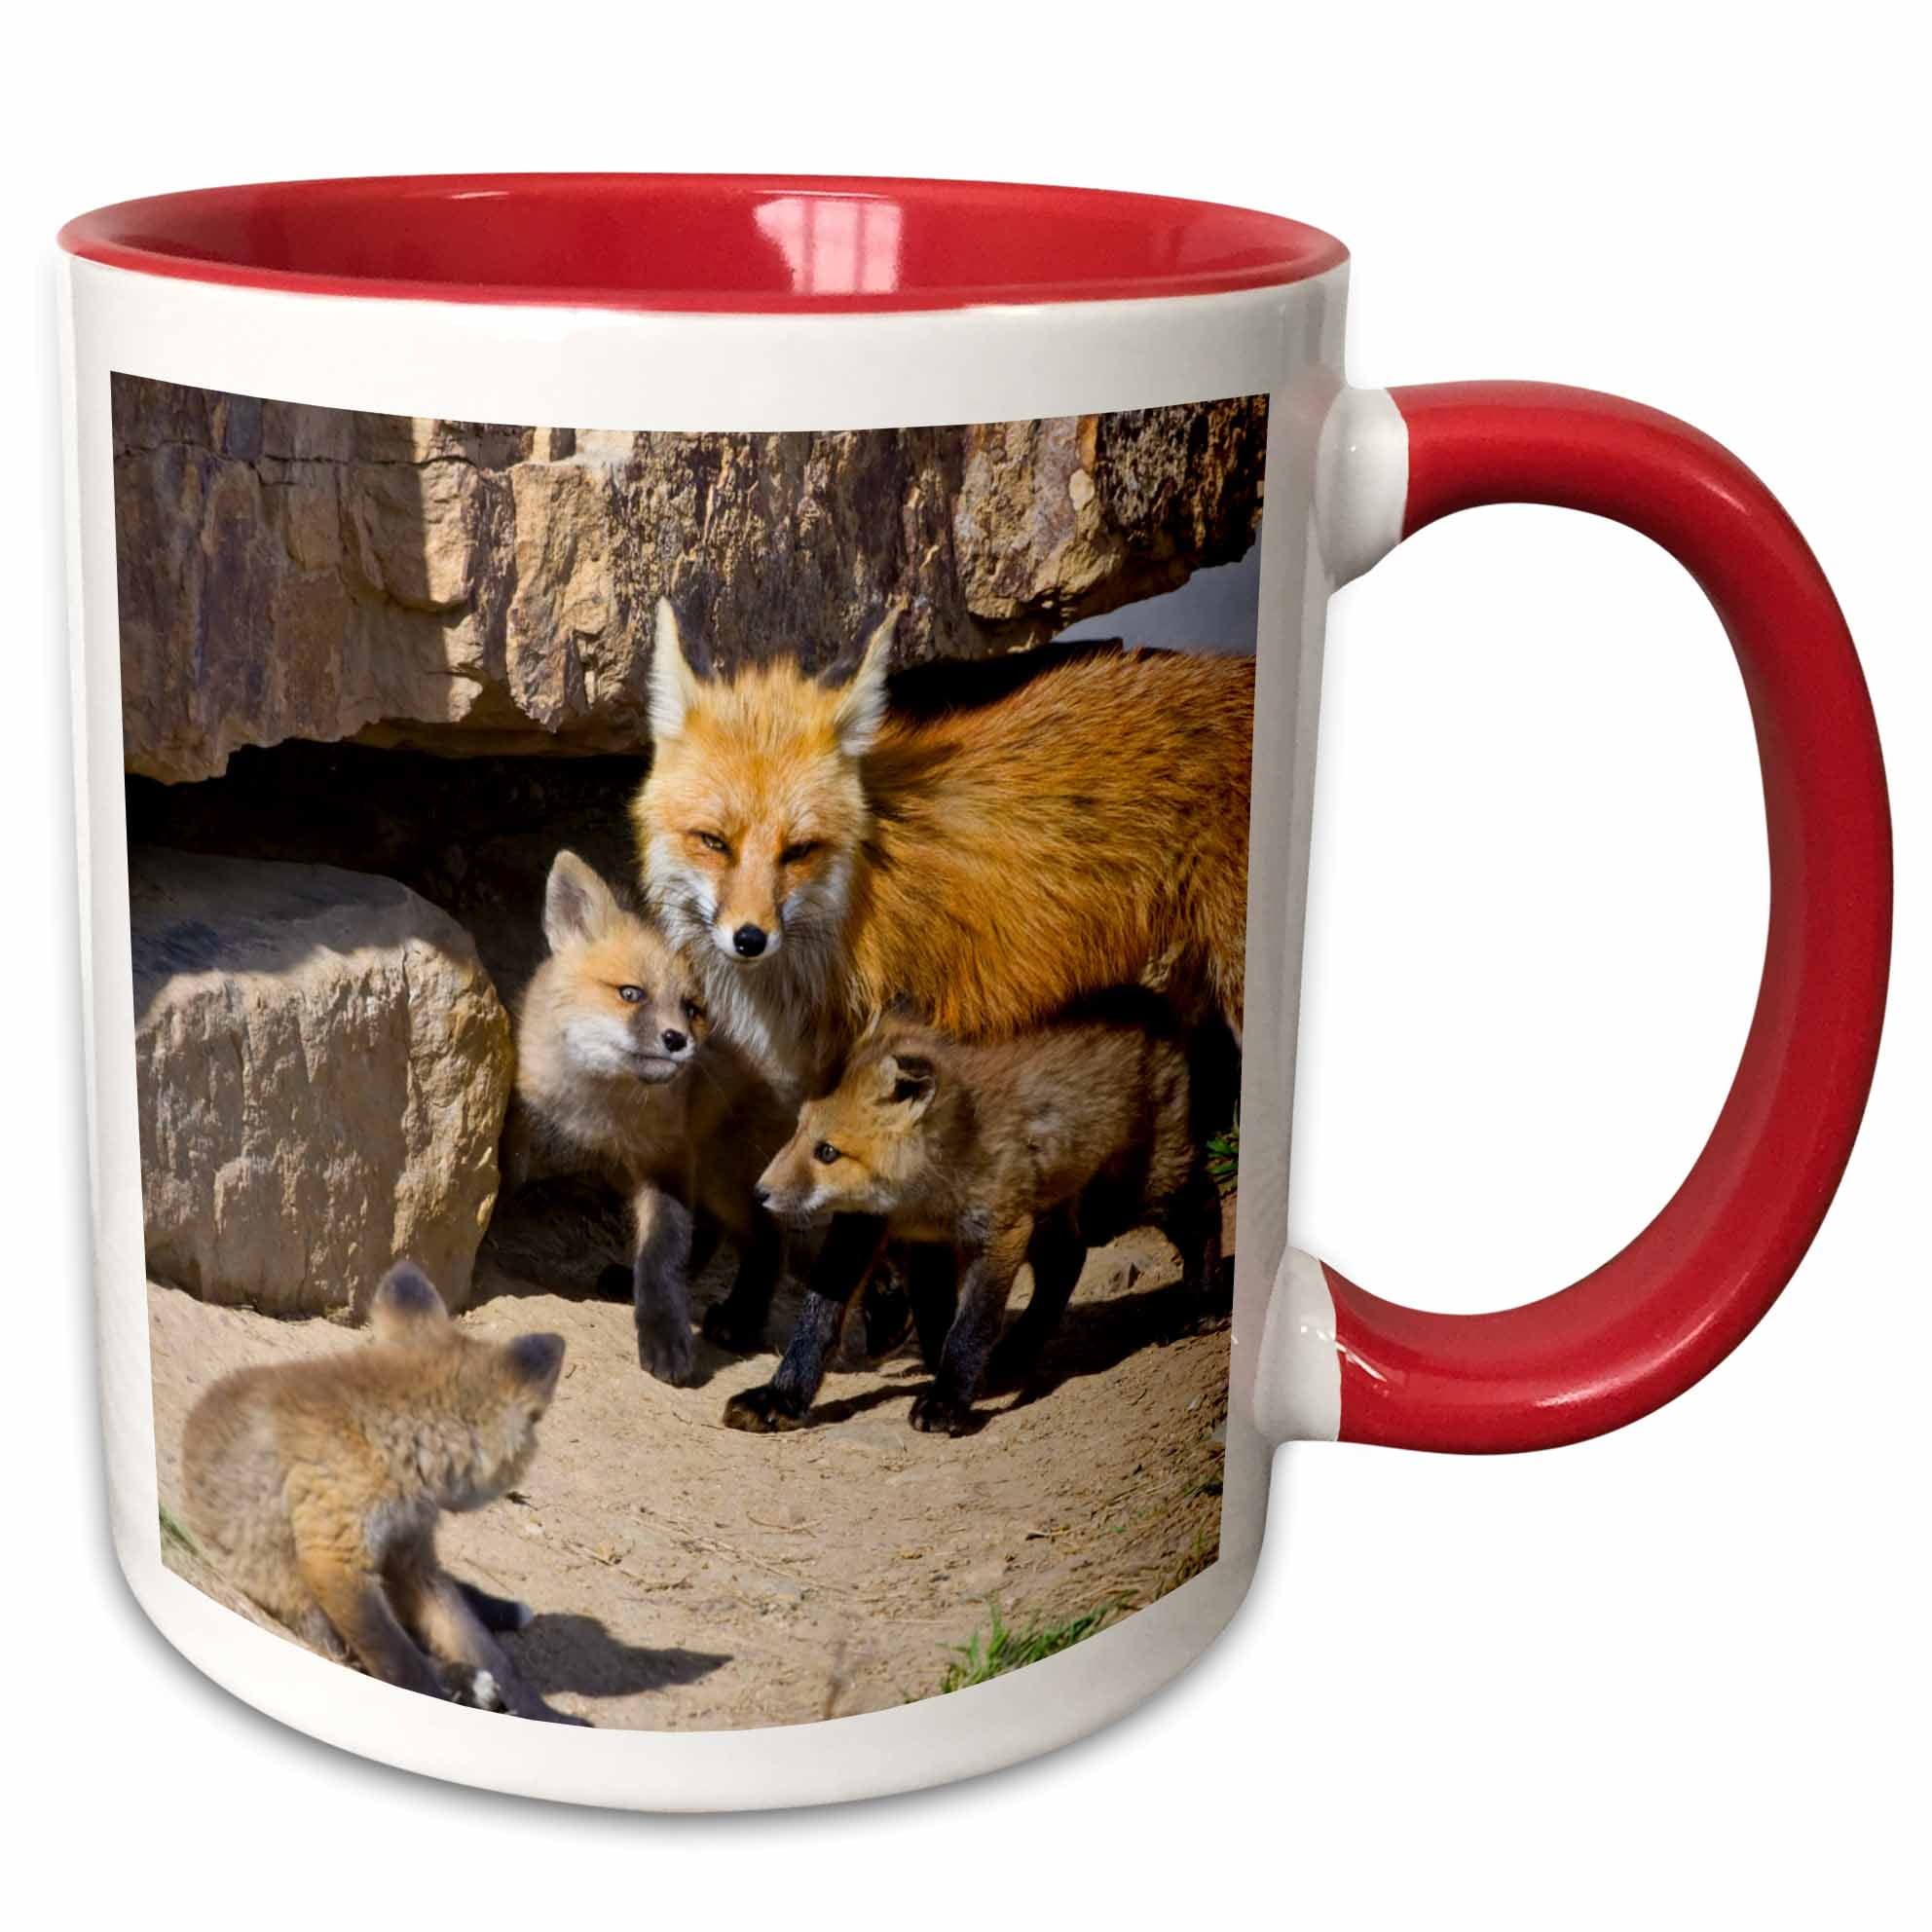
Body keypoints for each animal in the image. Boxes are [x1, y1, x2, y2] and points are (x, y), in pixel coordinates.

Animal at [178, 1260, 580, 1721]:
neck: (390, 1445)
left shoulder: (413, 1559)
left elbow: (488, 1653)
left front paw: (545, 1717)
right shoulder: (334, 1558)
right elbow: (401, 1663)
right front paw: (439, 1700)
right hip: (306, 1604)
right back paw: (464, 1684)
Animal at [515, 849, 791, 1383]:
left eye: (692, 1009)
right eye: (631, 994)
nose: (677, 1041)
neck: (597, 1113)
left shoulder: (667, 1160)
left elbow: (662, 1255)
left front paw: (664, 1333)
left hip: (725, 1175)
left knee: (764, 1239)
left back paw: (741, 1320)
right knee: (710, 1233)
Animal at [748, 989, 1224, 1435]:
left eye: (827, 1151)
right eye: (797, 1133)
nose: (759, 1193)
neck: (920, 1198)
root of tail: (1145, 1001)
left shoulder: (1000, 1230)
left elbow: (969, 1327)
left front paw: (946, 1400)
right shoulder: (882, 1230)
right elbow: (822, 1319)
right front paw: (781, 1397)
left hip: (1131, 1190)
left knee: (1205, 1206)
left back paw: (1201, 1306)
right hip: (1058, 1205)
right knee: (1066, 1262)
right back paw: (1016, 1352)